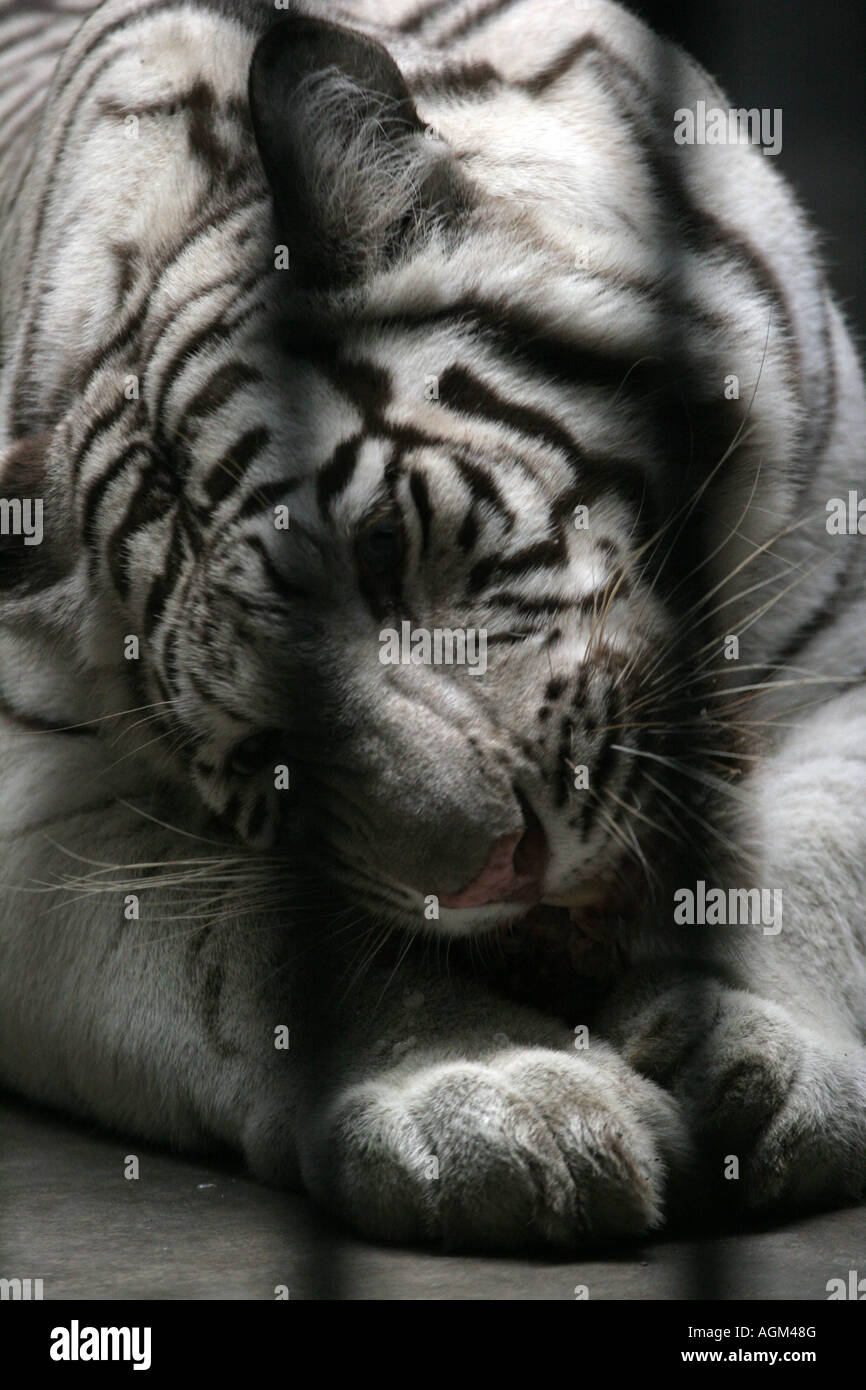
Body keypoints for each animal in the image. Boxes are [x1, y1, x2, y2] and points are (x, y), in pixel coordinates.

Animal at [1, 0, 865, 1254]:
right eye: (268, 759)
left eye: (381, 547)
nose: (499, 873)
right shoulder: (39, 818)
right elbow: (254, 945)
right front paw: (496, 1102)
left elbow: (815, 872)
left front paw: (758, 1055)